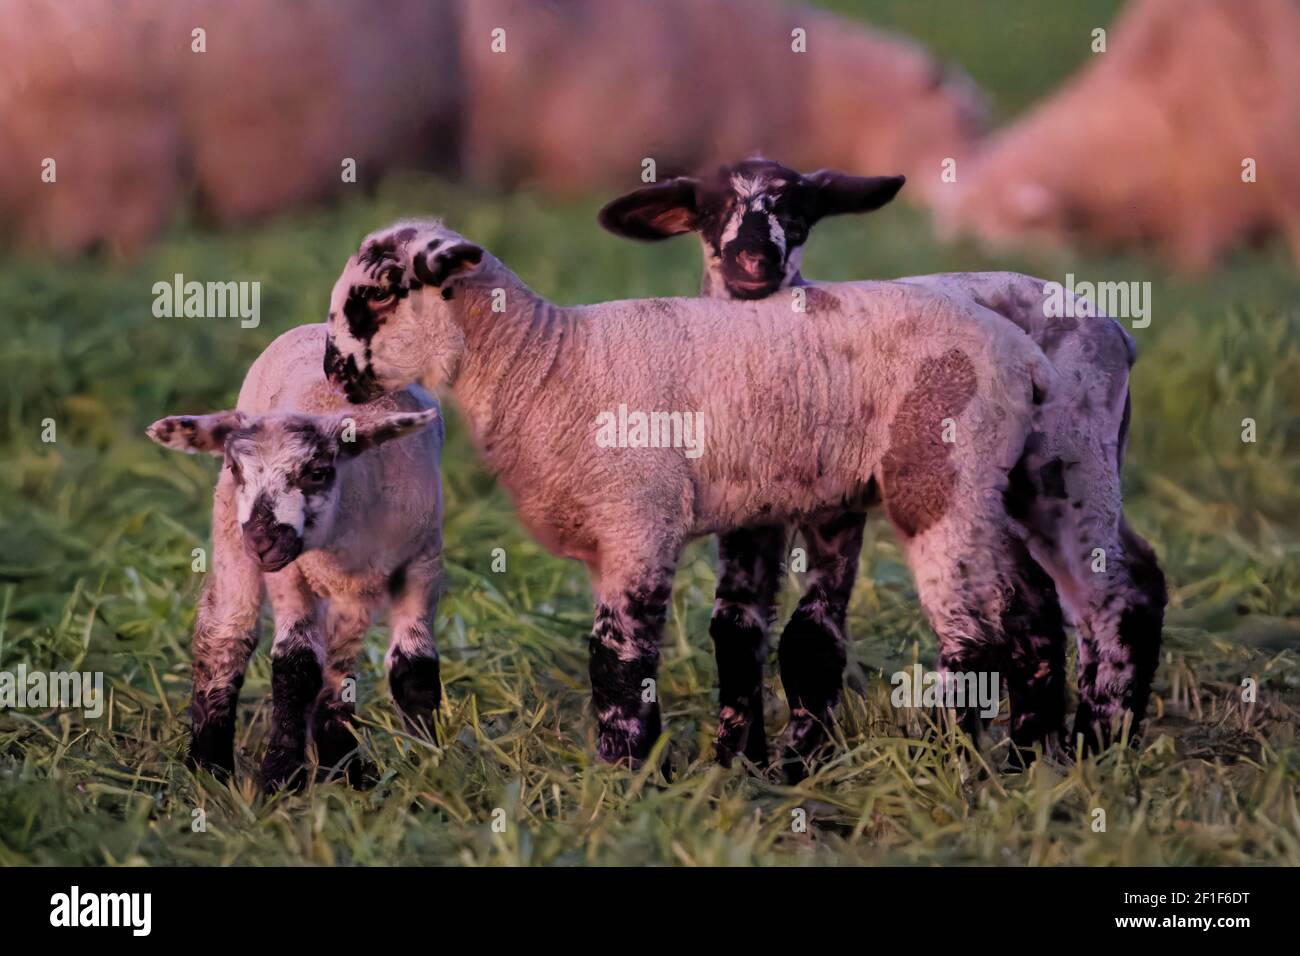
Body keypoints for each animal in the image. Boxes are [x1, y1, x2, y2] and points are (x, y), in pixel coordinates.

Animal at [147, 323, 444, 790]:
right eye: (236, 469)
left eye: (317, 472)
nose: (261, 541)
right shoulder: (290, 573)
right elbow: (296, 665)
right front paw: (280, 778)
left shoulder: (423, 562)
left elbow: (414, 667)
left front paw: (430, 767)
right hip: (230, 535)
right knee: (225, 632)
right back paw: (210, 767)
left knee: (339, 662)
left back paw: (343, 767)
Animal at [322, 219, 1062, 768]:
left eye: (380, 294)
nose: (333, 372)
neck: (542, 363)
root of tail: (1025, 357)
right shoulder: (606, 540)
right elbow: (624, 654)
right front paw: (639, 762)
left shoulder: (639, 518)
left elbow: (615, 656)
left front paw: (627, 774)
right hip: (994, 491)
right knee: (1028, 616)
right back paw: (1029, 757)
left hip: (941, 481)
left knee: (973, 634)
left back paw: (948, 758)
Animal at [598, 158, 1167, 754]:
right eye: (712, 210)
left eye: (798, 212)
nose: (754, 260)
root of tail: (1114, 328)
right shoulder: (745, 514)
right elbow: (735, 625)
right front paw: (738, 759)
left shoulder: (837, 506)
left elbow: (811, 634)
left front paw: (803, 757)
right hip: (1024, 485)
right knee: (1055, 597)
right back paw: (1050, 747)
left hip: (1071, 460)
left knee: (1116, 589)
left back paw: (1094, 738)